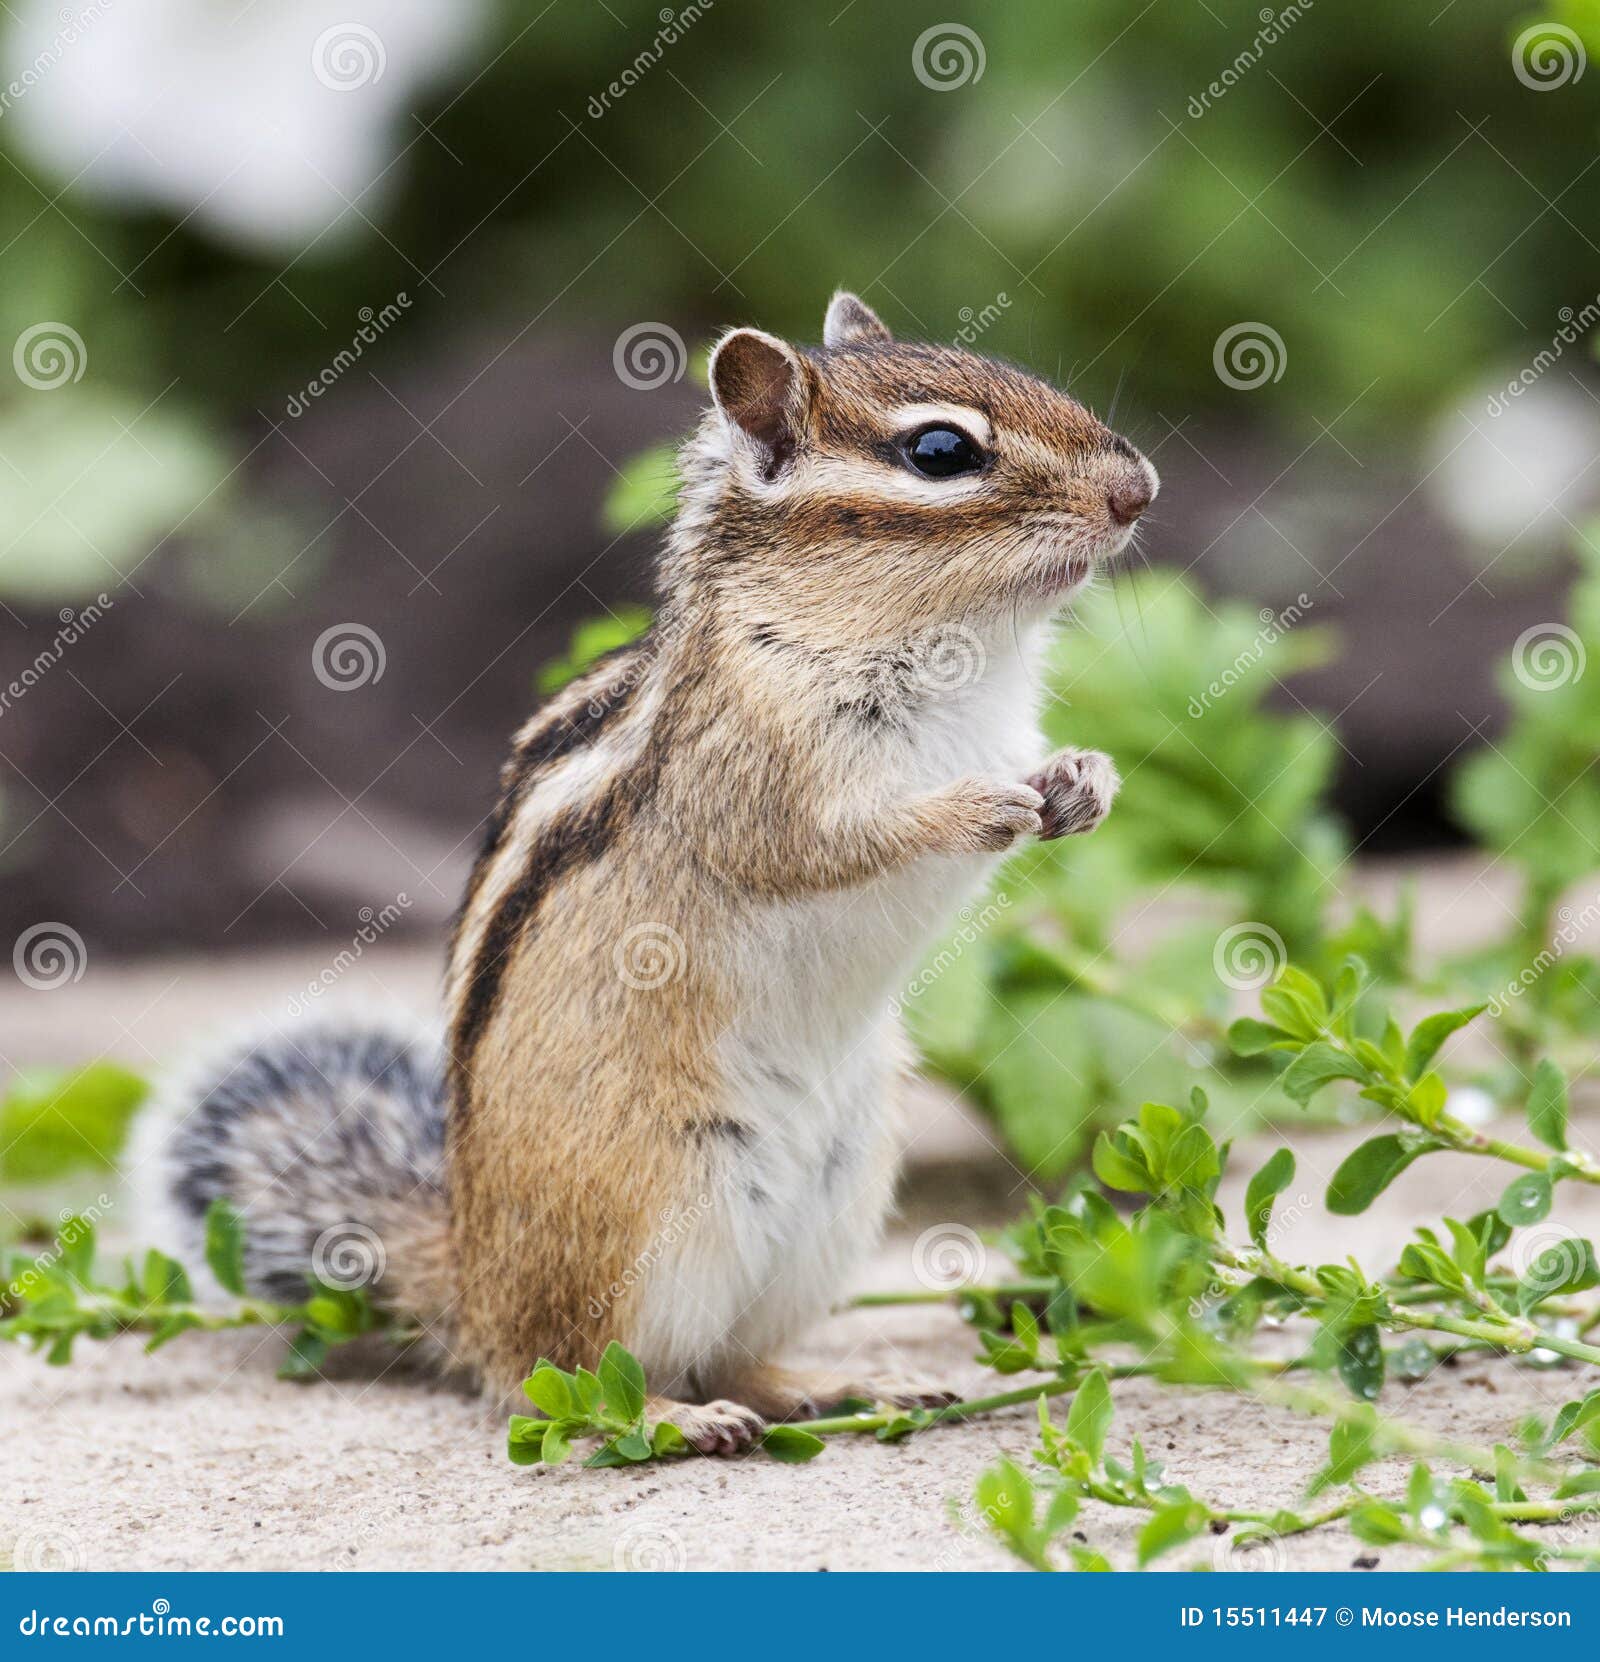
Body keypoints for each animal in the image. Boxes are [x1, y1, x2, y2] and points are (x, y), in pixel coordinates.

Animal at [131, 292, 1157, 1453]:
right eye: (940, 452)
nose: (1140, 489)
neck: (959, 659)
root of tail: (470, 1283)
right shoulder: (743, 776)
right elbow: (820, 846)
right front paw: (973, 808)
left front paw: (1084, 781)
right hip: (647, 1216)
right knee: (563, 1379)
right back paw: (679, 1416)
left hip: (835, 1204)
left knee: (733, 1353)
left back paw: (840, 1384)